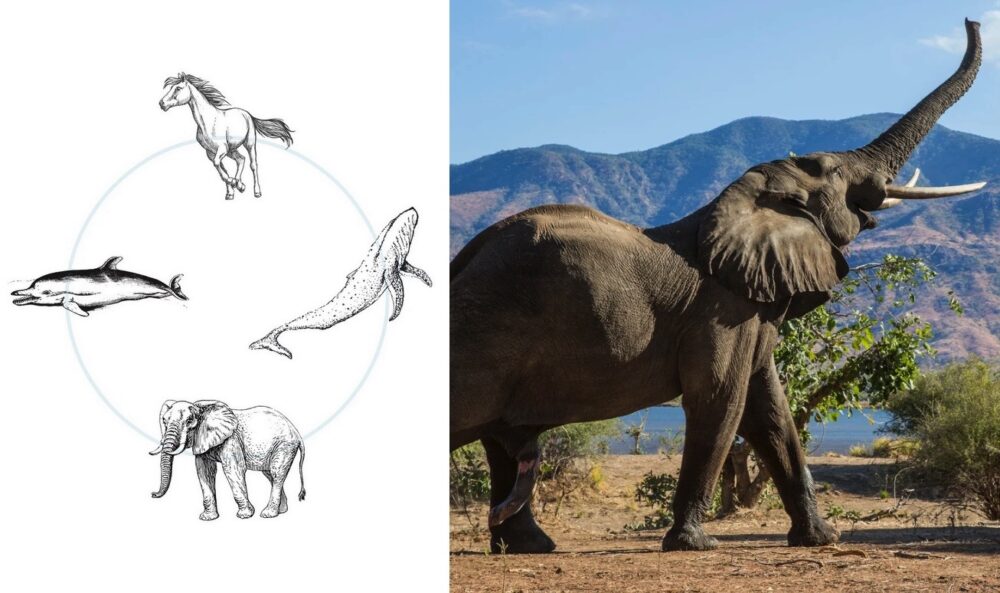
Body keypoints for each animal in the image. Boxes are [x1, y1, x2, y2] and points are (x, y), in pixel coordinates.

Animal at [150, 400, 306, 520]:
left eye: (189, 421)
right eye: (164, 420)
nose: (153, 494)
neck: (201, 407)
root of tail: (296, 432)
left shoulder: (232, 440)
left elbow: (233, 469)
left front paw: (245, 515)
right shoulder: (202, 441)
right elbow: (204, 472)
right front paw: (208, 518)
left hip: (285, 446)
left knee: (276, 473)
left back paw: (268, 514)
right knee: (270, 475)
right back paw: (281, 511)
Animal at [159, 73, 294, 200]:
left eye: (178, 88)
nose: (161, 103)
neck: (207, 122)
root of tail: (248, 114)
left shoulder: (222, 149)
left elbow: (218, 165)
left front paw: (234, 183)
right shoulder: (211, 152)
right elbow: (220, 168)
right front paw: (231, 191)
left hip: (249, 144)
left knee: (253, 165)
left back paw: (256, 192)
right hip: (231, 149)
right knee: (241, 159)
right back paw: (239, 184)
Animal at [450, 20, 985, 553]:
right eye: (832, 173)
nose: (971, 22)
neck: (740, 200)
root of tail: (464, 260)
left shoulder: (752, 309)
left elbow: (771, 410)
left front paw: (819, 538)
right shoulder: (721, 311)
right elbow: (721, 399)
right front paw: (692, 544)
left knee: (501, 442)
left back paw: (531, 546)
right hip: (485, 332)